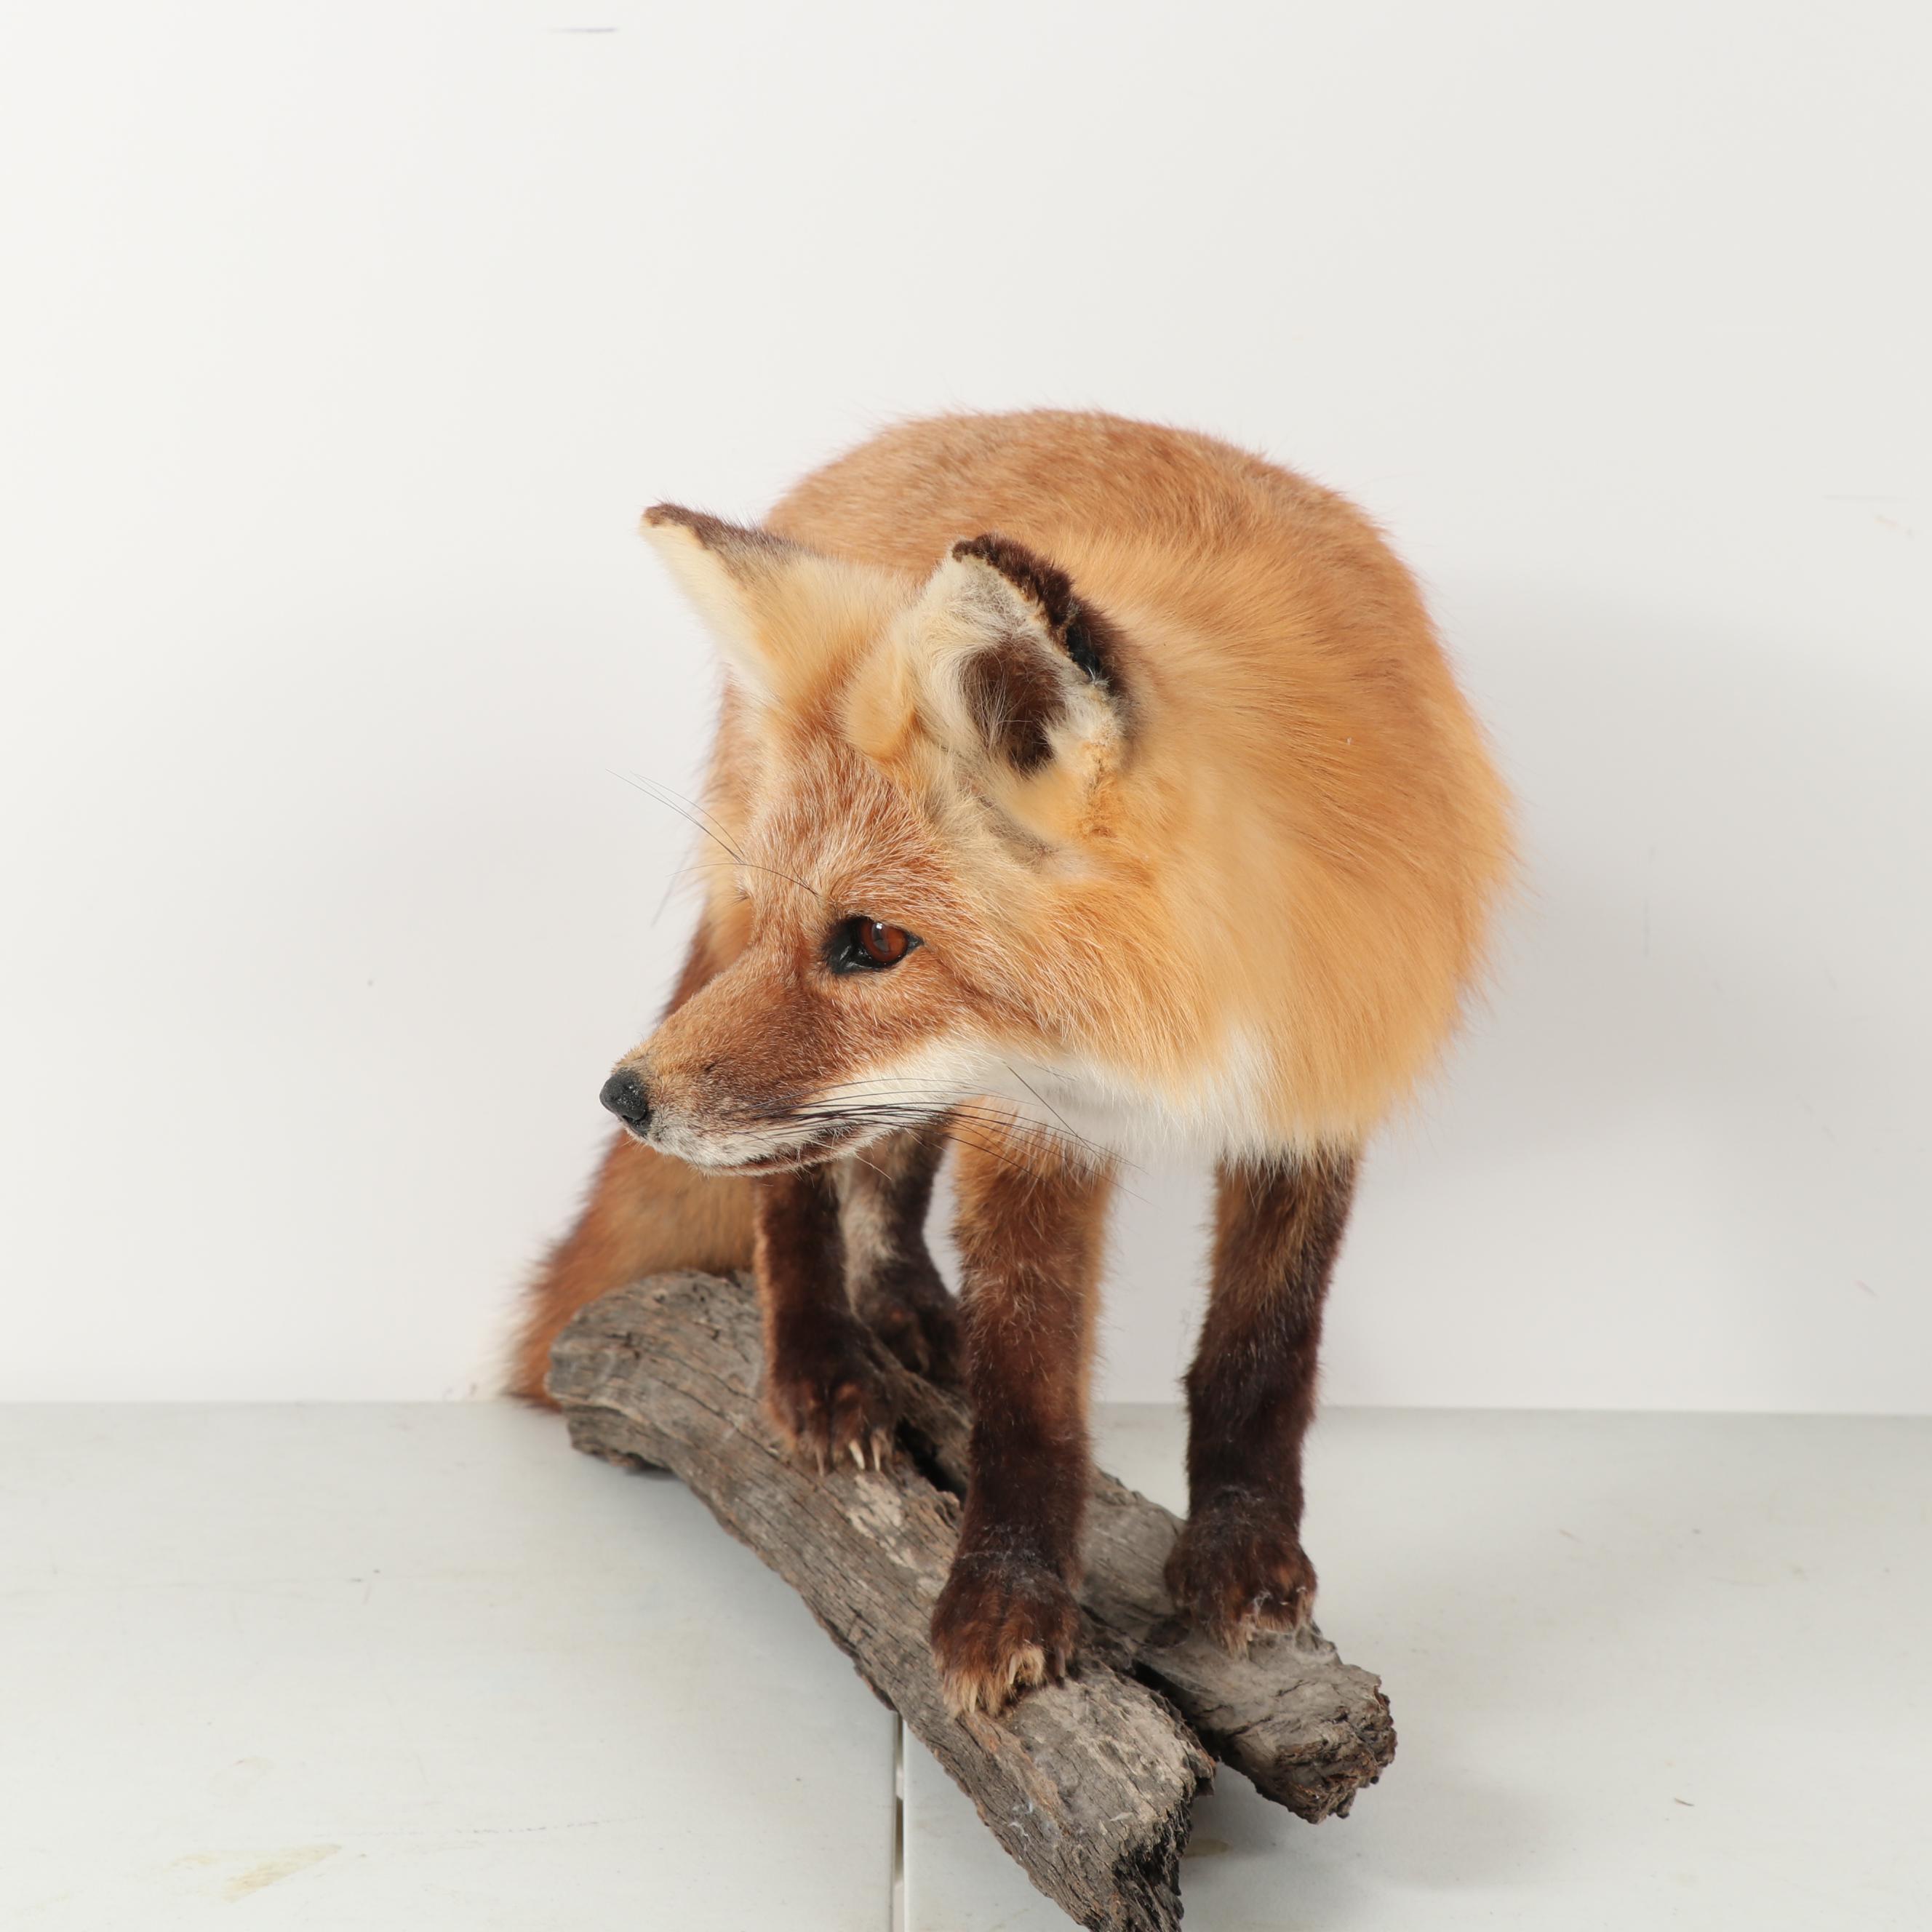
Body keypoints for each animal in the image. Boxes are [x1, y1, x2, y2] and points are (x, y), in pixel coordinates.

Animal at [511, 410, 1512, 1718]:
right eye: (795, 925)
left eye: (875, 940)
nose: (621, 1095)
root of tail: (919, 433)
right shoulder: (1035, 1123)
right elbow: (1029, 1390)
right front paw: (1004, 1601)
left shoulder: (1318, 1090)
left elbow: (1259, 1354)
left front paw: (1242, 1551)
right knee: (800, 1197)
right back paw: (822, 1366)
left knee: (887, 1176)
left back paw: (903, 1308)